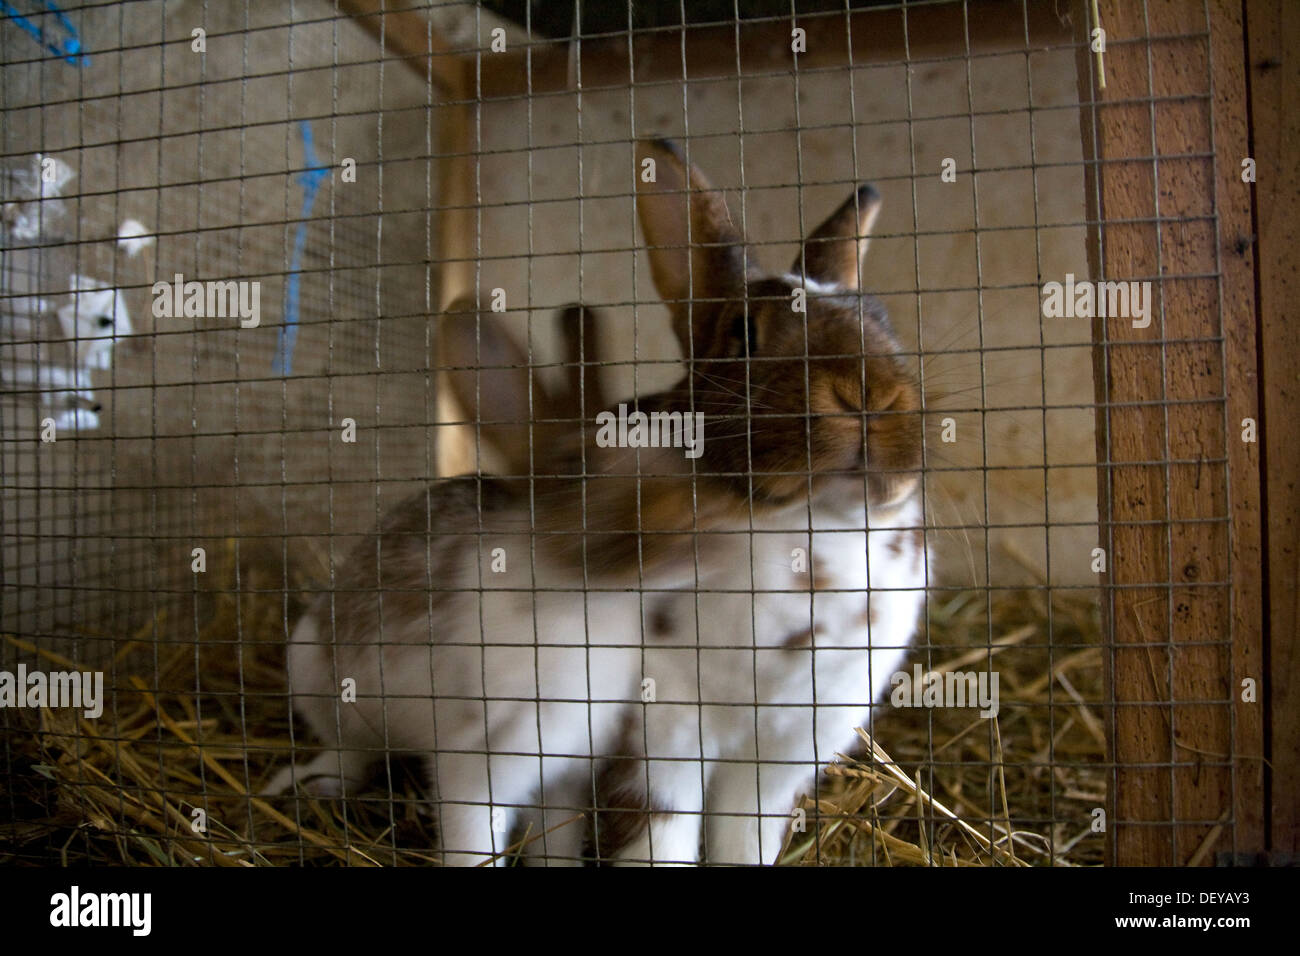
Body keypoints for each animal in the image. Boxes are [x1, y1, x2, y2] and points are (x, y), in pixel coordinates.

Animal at [265, 139, 927, 866]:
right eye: (744, 333)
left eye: (886, 323)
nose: (869, 394)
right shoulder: (654, 740)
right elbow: (652, 838)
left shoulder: (777, 758)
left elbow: (743, 840)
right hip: (319, 672)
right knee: (349, 746)